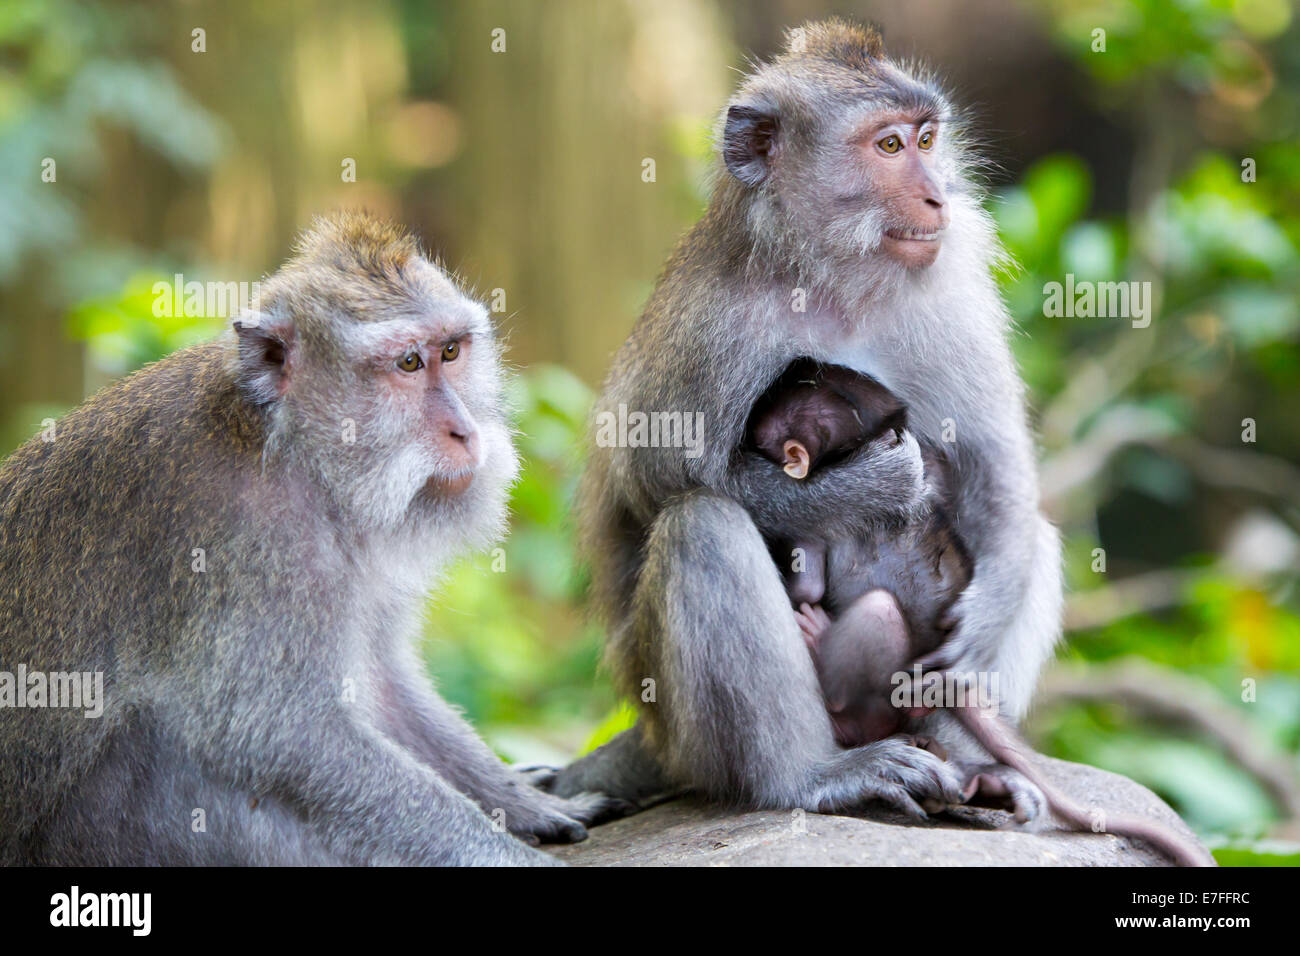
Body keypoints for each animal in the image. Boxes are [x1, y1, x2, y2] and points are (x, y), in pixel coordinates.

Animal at [0, 212, 619, 866]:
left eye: (451, 352)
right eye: (408, 364)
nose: (465, 431)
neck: (295, 452)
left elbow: (381, 680)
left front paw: (520, 802)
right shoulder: (252, 544)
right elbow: (286, 729)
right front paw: (505, 853)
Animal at [548, 19, 1065, 824]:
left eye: (927, 138)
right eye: (889, 146)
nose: (937, 196)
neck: (827, 280)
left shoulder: (947, 292)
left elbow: (995, 460)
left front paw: (981, 627)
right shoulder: (712, 334)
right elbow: (657, 486)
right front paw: (867, 486)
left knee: (1028, 531)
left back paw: (975, 763)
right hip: (674, 717)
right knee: (703, 527)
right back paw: (808, 776)